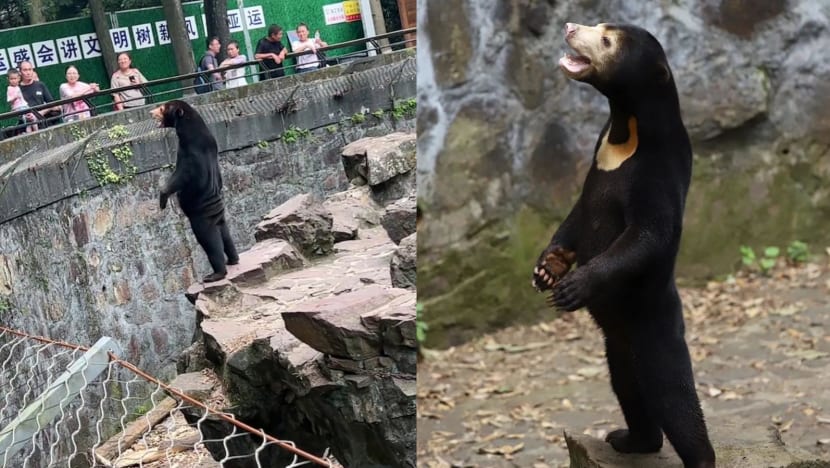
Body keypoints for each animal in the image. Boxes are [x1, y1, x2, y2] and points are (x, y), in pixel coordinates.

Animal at [151, 99, 239, 283]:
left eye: (162, 108)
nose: (150, 112)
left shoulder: (189, 152)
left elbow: (180, 177)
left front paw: (162, 199)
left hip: (201, 220)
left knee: (210, 243)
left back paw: (215, 274)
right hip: (220, 219)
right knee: (226, 236)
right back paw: (233, 259)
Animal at [531, 23, 716, 468]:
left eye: (606, 41)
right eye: (600, 25)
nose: (569, 26)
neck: (625, 127)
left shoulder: (656, 170)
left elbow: (649, 233)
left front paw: (573, 287)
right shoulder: (596, 160)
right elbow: (578, 213)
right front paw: (547, 269)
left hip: (652, 325)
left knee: (673, 394)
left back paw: (700, 457)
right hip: (618, 345)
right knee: (628, 386)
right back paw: (630, 439)